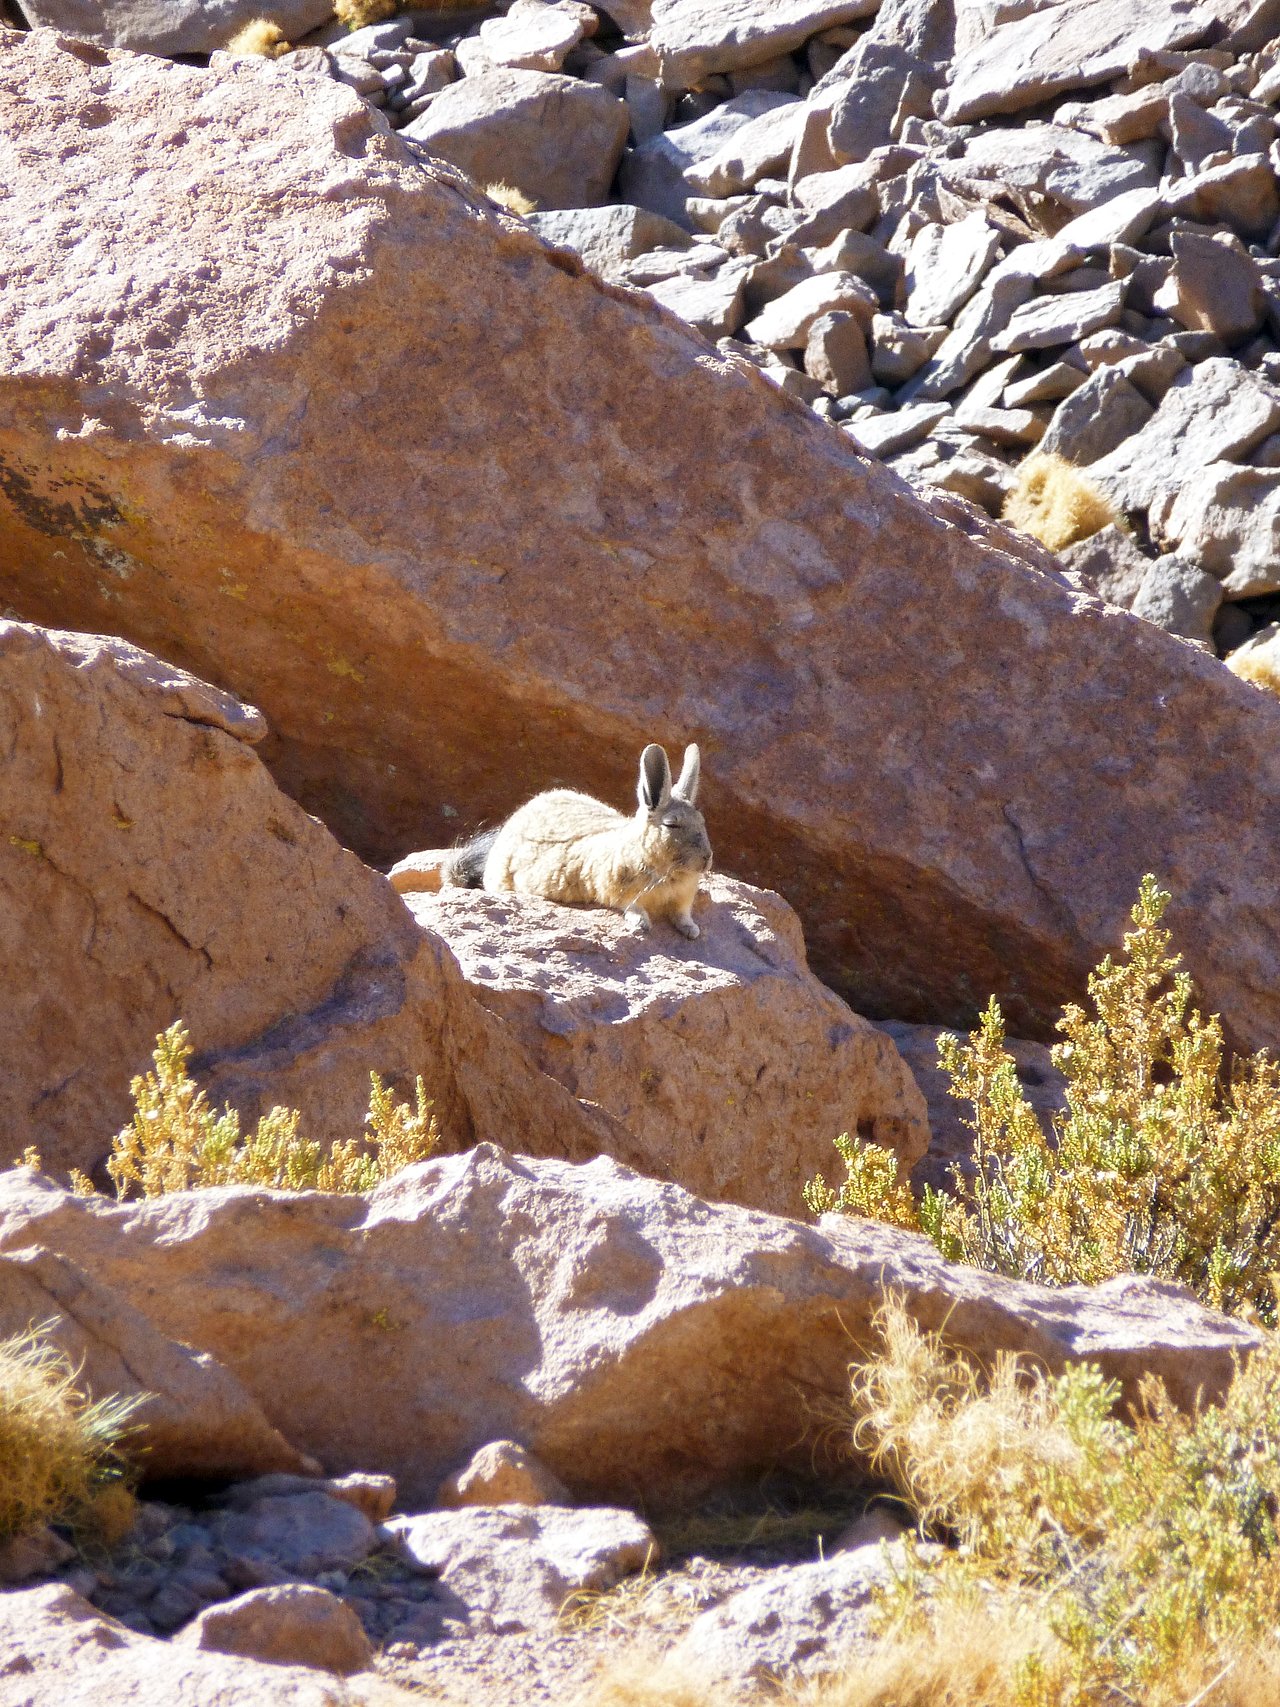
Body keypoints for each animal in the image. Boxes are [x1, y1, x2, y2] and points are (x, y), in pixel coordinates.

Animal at [445, 743, 712, 937]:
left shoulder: (683, 898)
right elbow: (631, 906)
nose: (707, 859)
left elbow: (682, 914)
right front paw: (641, 925)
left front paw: (693, 931)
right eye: (671, 824)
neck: (668, 873)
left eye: (702, 821)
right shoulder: (615, 889)